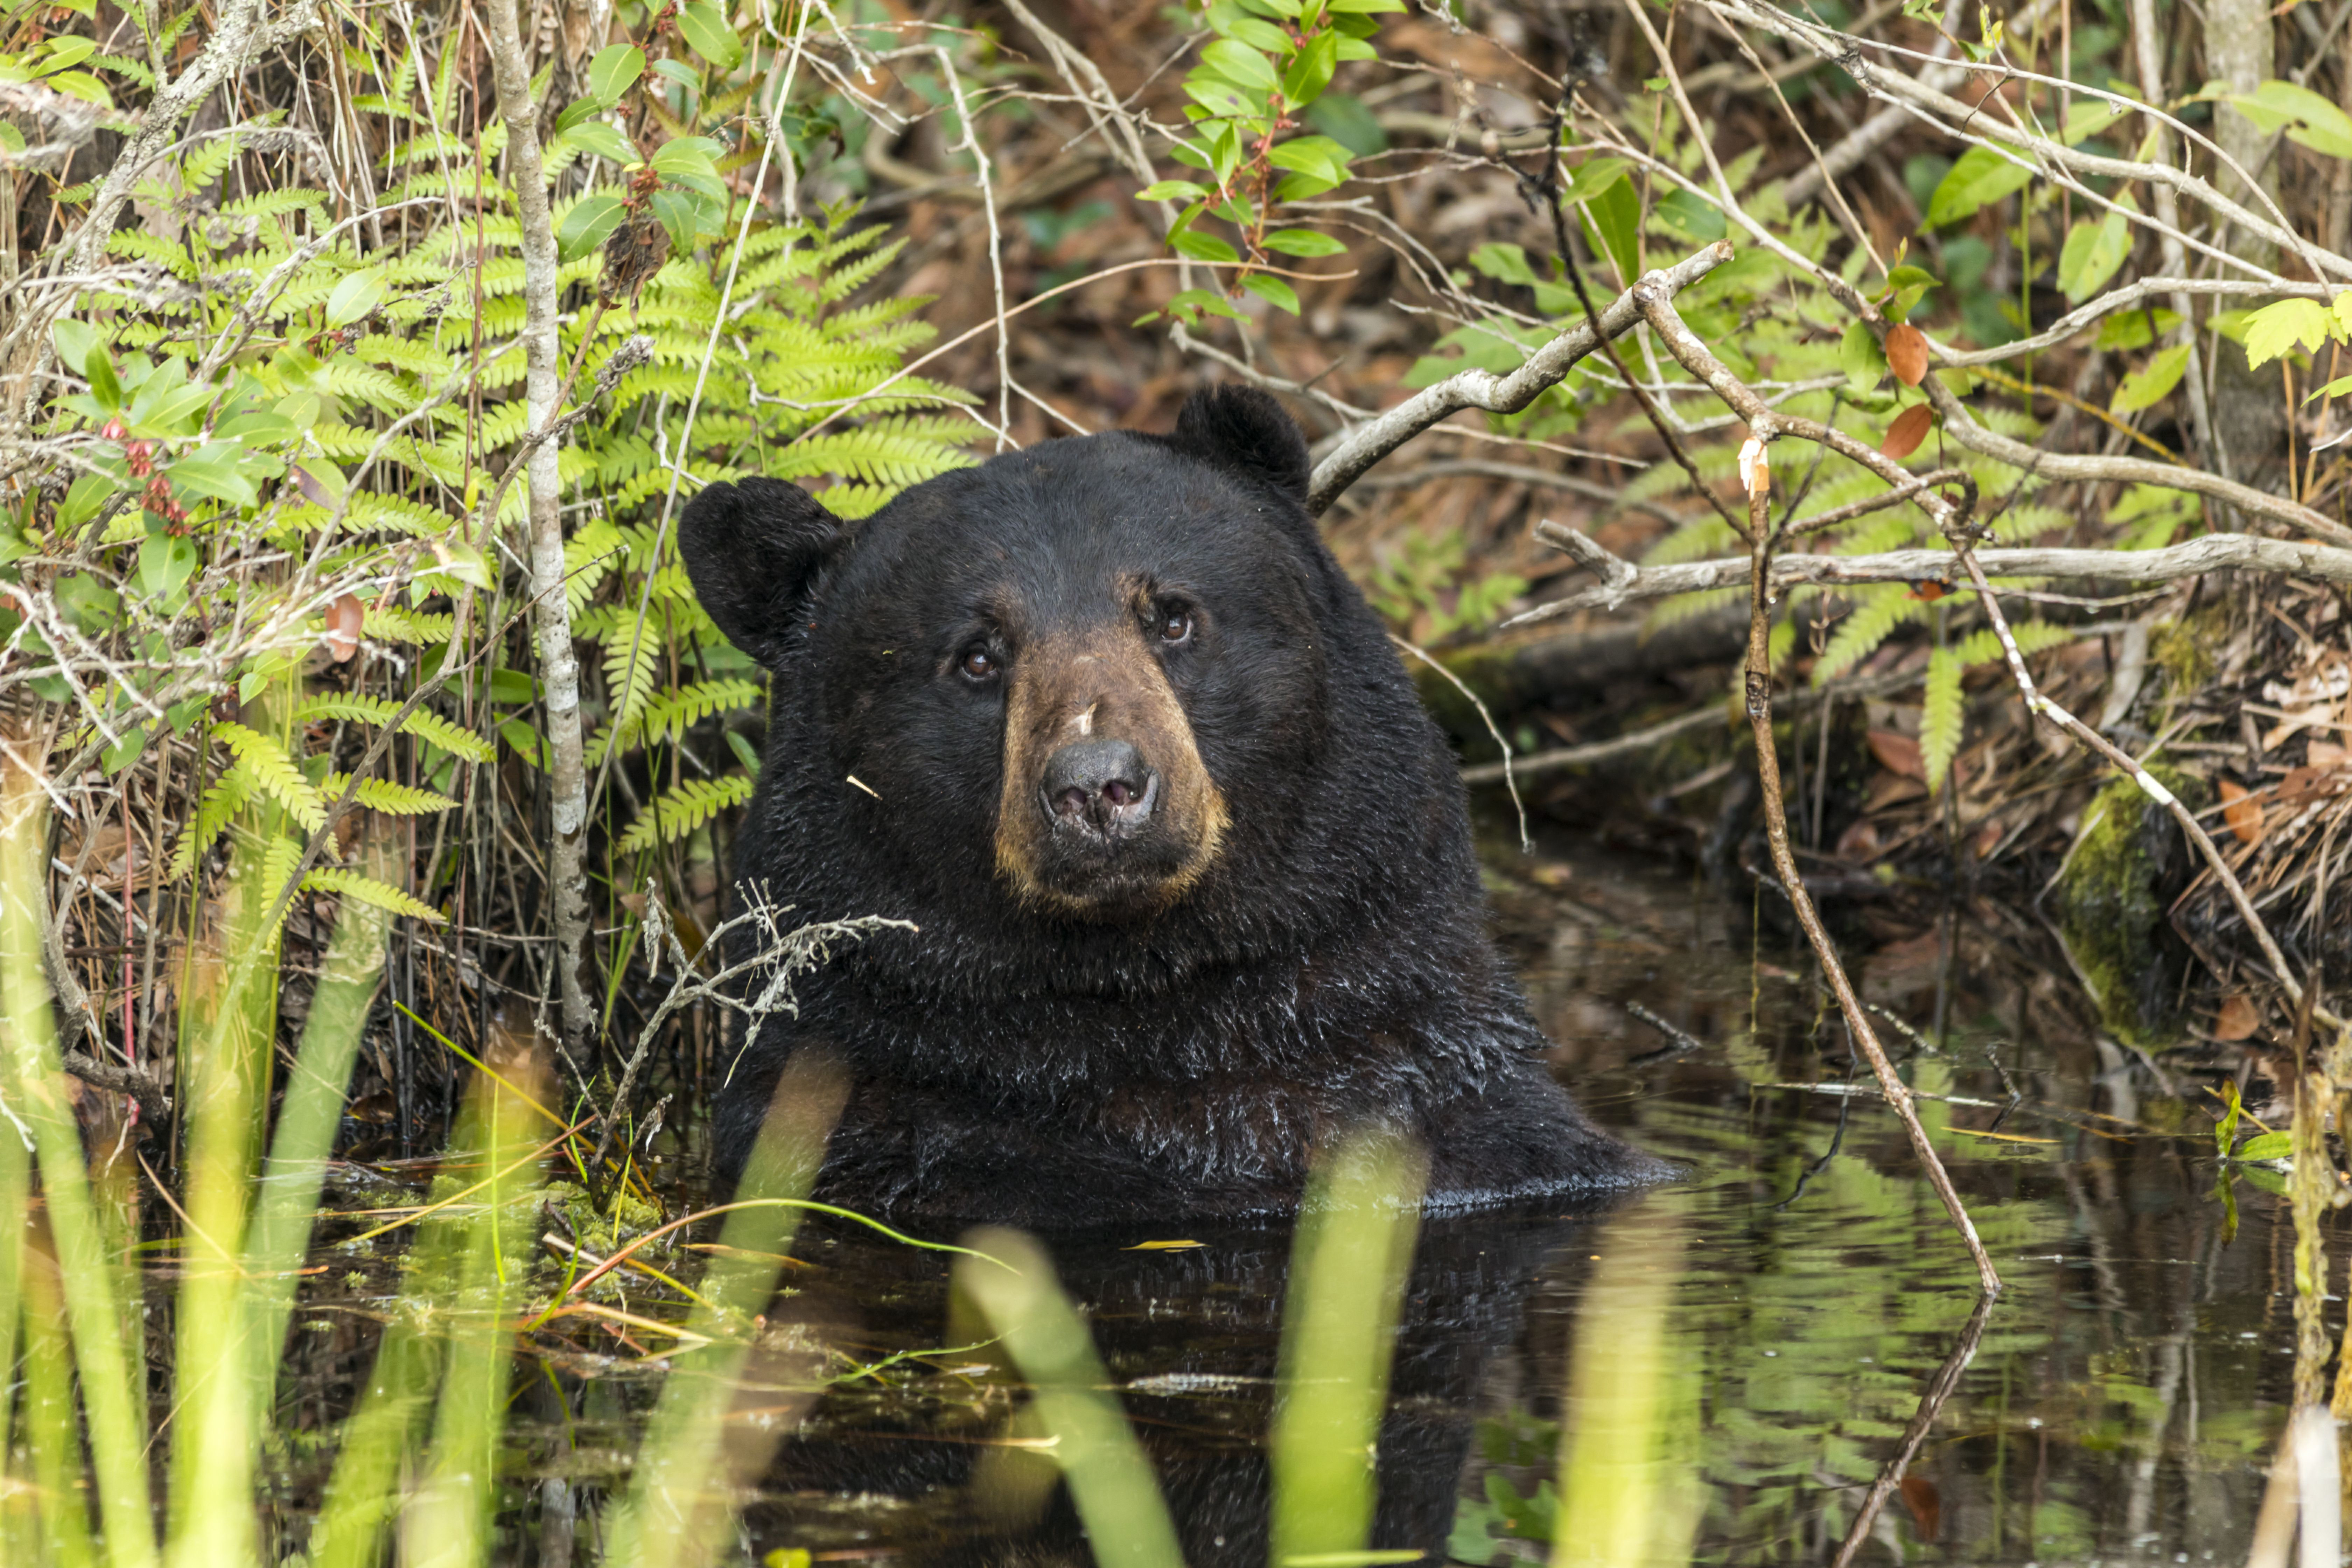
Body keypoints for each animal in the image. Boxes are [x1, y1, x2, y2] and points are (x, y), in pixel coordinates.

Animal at [678, 386, 1670, 1227]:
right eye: (977, 656)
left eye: (1173, 615)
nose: (1099, 784)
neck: (1163, 1006)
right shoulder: (886, 1132)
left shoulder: (1462, 1111)